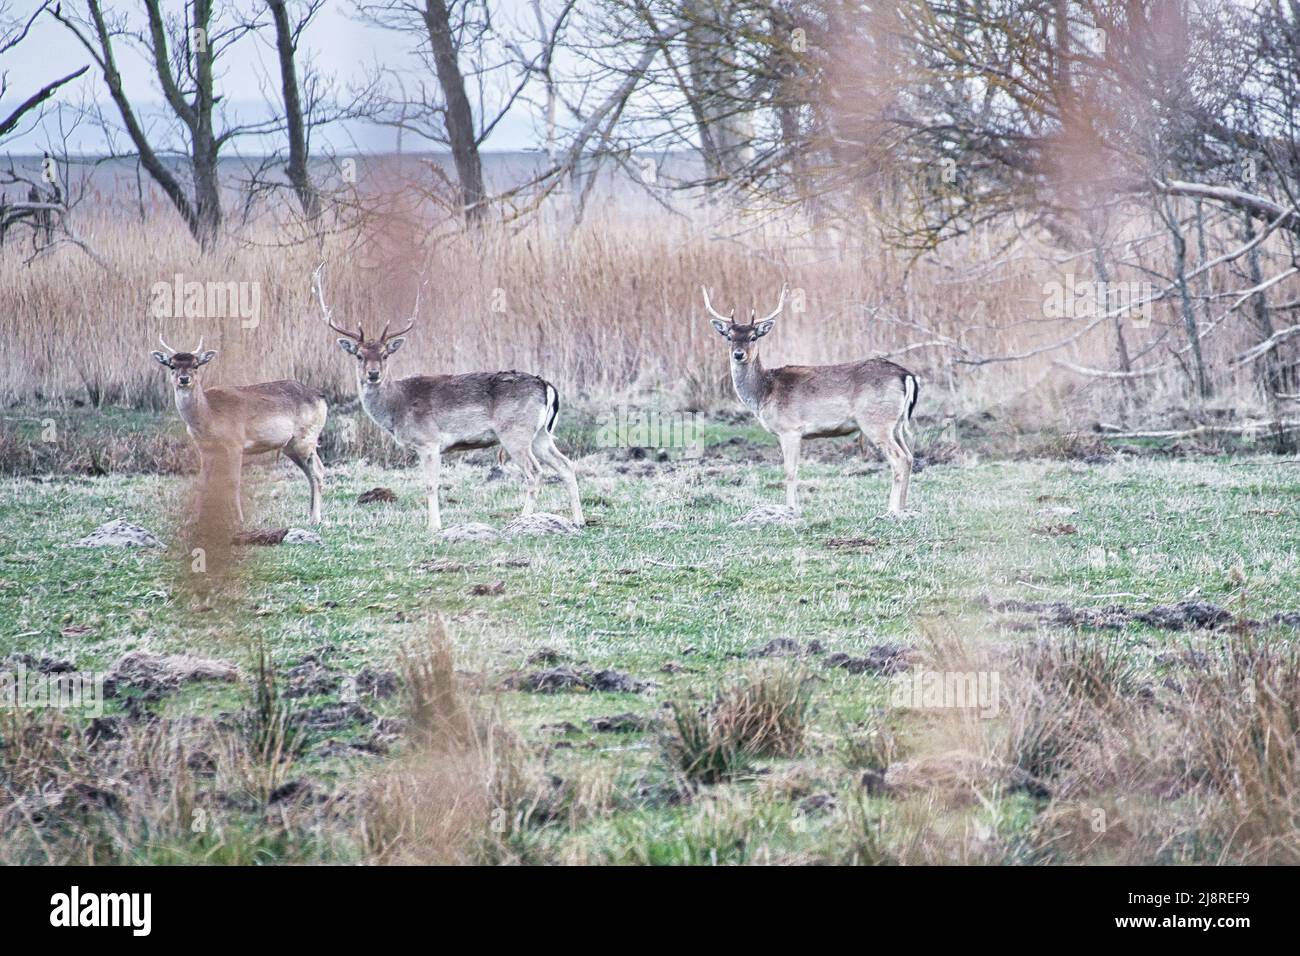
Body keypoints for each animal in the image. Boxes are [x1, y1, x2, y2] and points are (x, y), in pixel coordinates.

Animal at [151, 336, 328, 524]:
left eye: (196, 364)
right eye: (171, 365)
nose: (184, 379)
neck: (209, 415)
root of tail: (321, 397)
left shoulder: (235, 443)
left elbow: (233, 481)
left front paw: (239, 520)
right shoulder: (204, 449)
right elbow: (202, 482)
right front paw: (193, 520)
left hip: (306, 438)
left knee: (318, 471)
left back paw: (316, 519)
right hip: (291, 446)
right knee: (310, 473)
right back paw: (311, 516)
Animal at [317, 270, 584, 532]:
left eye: (384, 355)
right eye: (359, 355)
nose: (373, 374)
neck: (396, 408)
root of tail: (546, 386)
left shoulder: (429, 442)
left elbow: (430, 484)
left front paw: (433, 526)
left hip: (515, 432)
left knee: (535, 473)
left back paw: (521, 521)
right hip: (540, 434)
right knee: (566, 465)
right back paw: (578, 520)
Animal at [703, 284, 919, 517]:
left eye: (753, 337)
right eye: (729, 336)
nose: (738, 354)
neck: (764, 393)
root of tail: (906, 375)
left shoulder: (790, 429)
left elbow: (790, 470)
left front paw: (791, 509)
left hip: (875, 421)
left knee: (899, 459)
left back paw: (891, 511)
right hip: (895, 424)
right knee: (909, 456)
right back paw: (904, 509)